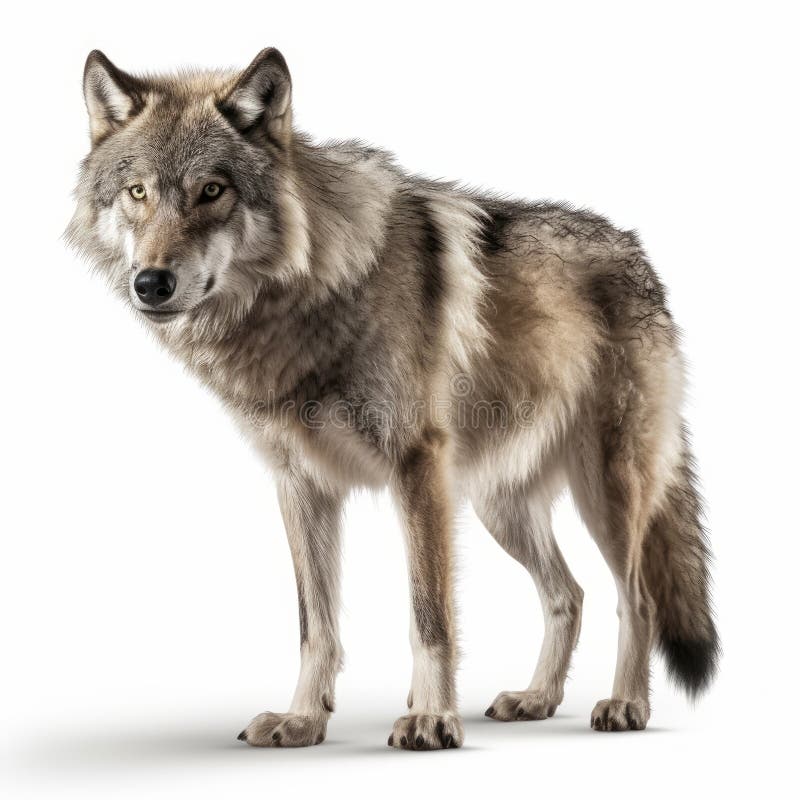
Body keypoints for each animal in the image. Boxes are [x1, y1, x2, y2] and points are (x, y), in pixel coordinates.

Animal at [67, 48, 718, 749]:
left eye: (212, 190)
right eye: (138, 192)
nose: (151, 283)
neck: (309, 297)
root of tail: (638, 254)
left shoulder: (417, 467)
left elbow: (429, 616)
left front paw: (432, 718)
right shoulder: (302, 483)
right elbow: (315, 625)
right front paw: (303, 719)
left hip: (606, 493)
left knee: (637, 598)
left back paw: (625, 704)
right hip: (499, 505)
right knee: (568, 594)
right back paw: (537, 699)